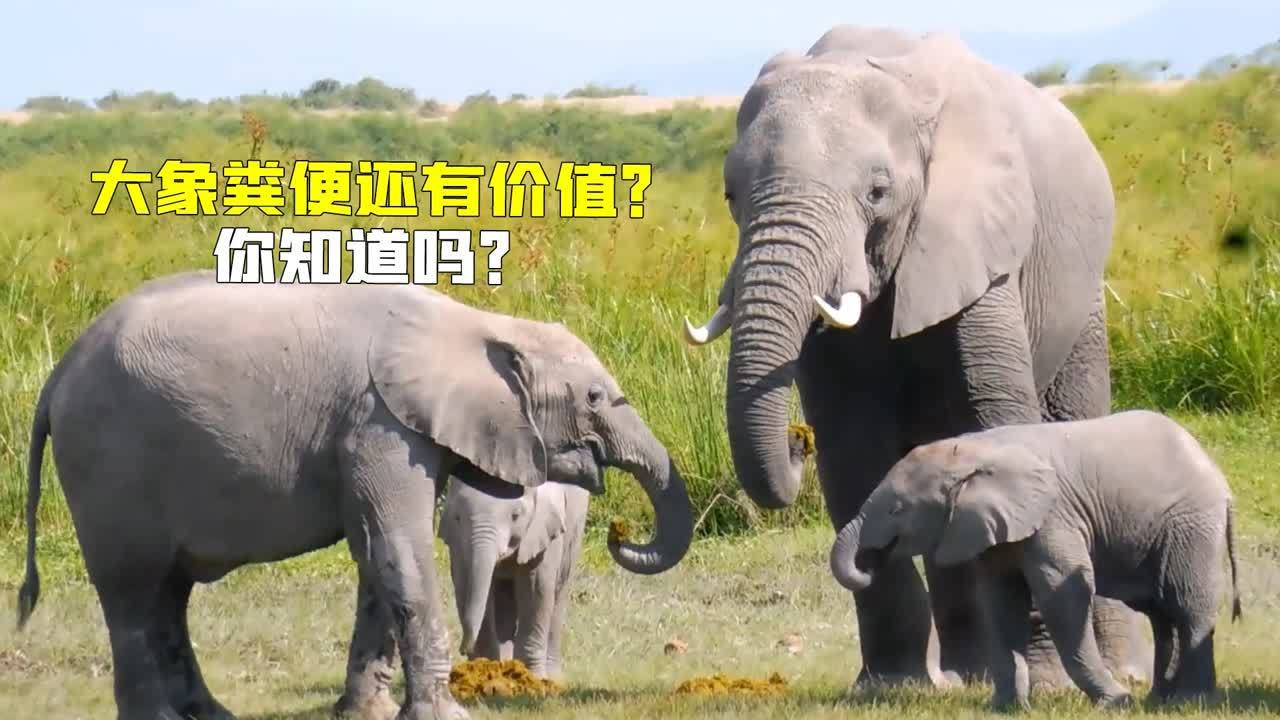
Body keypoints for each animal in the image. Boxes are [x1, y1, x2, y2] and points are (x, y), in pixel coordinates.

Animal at [439, 467, 590, 680]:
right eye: (457, 517)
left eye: (516, 516)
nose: (461, 650)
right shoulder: (456, 541)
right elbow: (464, 583)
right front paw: (485, 674)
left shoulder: (543, 526)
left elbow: (537, 588)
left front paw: (532, 680)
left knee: (557, 596)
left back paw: (551, 678)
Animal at [680, 24, 1152, 689]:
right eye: (730, 195)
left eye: (877, 193)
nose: (795, 444)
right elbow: (853, 447)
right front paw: (891, 686)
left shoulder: (979, 245)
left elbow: (996, 418)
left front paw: (1049, 683)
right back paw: (970, 673)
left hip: (1082, 297)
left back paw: (1119, 671)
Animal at [829, 410, 1243, 710]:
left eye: (897, 509)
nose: (869, 563)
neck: (969, 451)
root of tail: (1221, 480)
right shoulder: (992, 529)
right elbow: (1000, 601)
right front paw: (1005, 708)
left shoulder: (1053, 516)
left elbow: (1062, 594)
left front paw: (1115, 703)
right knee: (1162, 613)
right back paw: (1161, 700)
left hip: (1192, 524)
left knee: (1187, 604)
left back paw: (1188, 700)